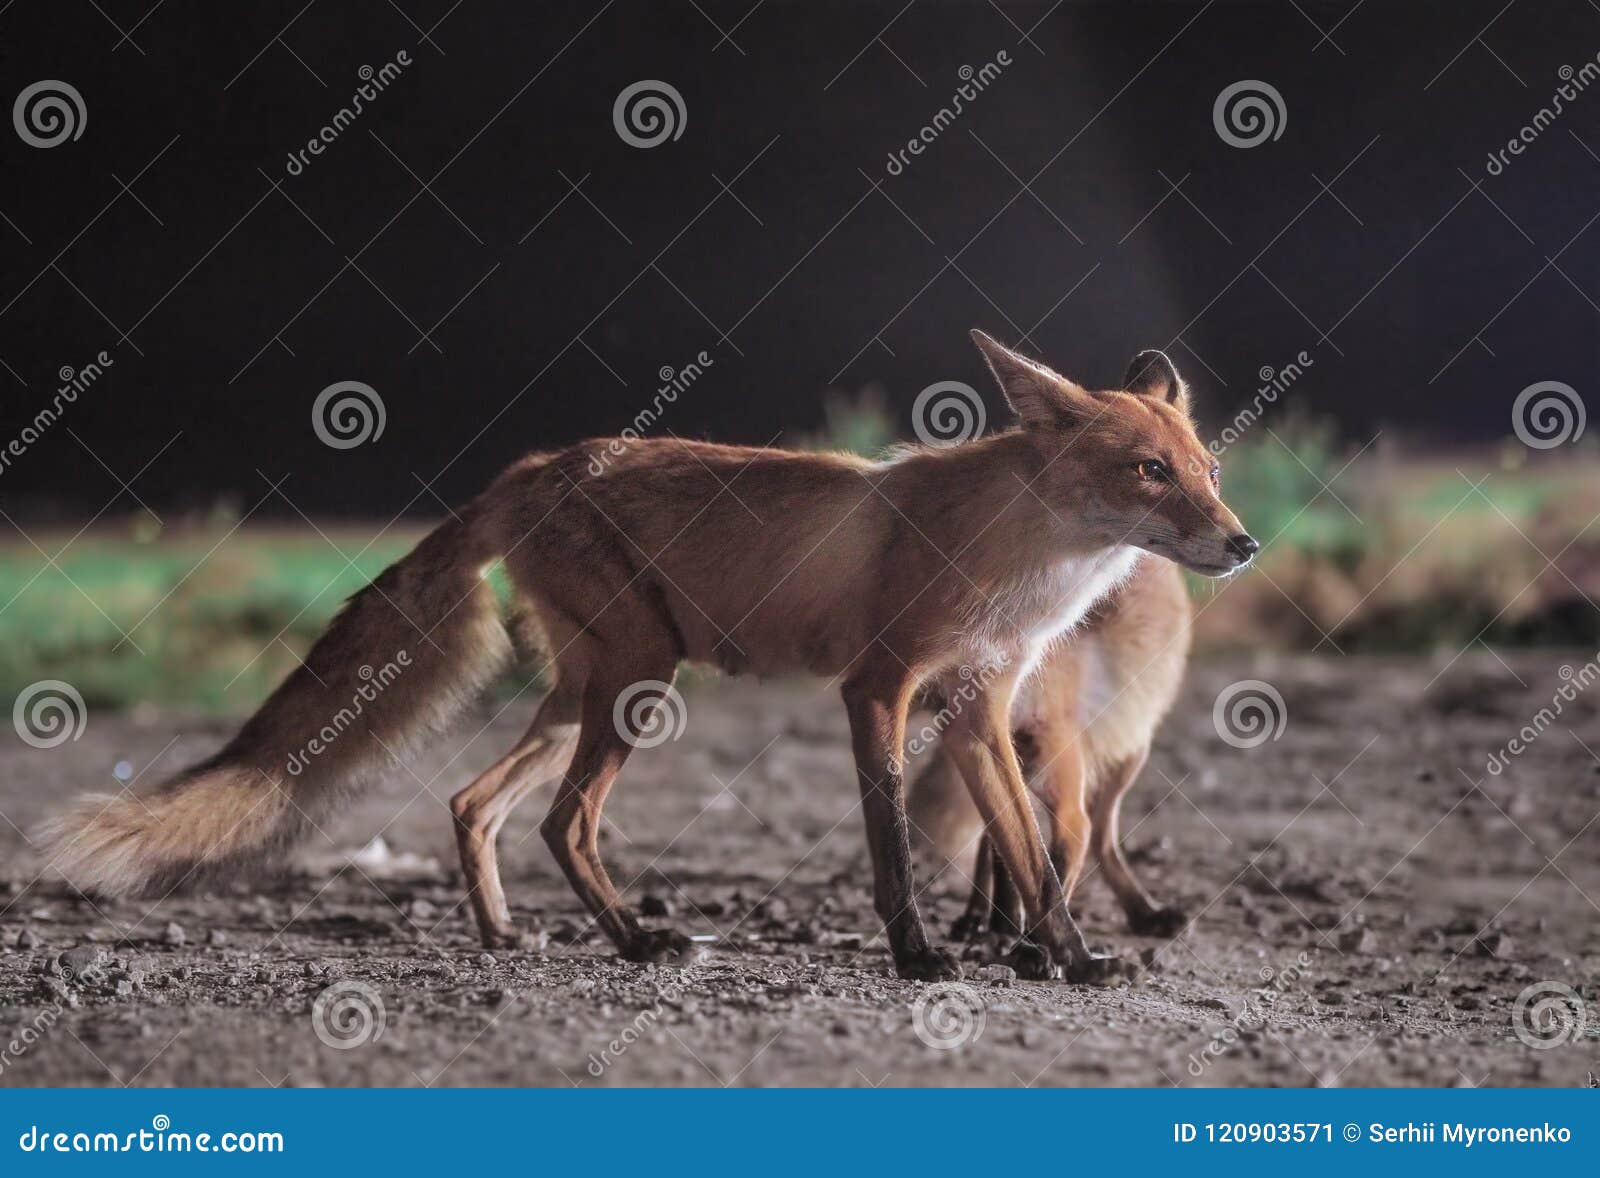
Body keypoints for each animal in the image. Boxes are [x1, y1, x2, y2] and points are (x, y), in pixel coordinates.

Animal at [906, 555, 1192, 947]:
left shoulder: (1064, 798)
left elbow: (1045, 872)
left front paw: (1024, 939)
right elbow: (1015, 857)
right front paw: (1008, 926)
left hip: (1130, 755)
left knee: (1103, 841)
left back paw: (1142, 911)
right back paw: (982, 916)